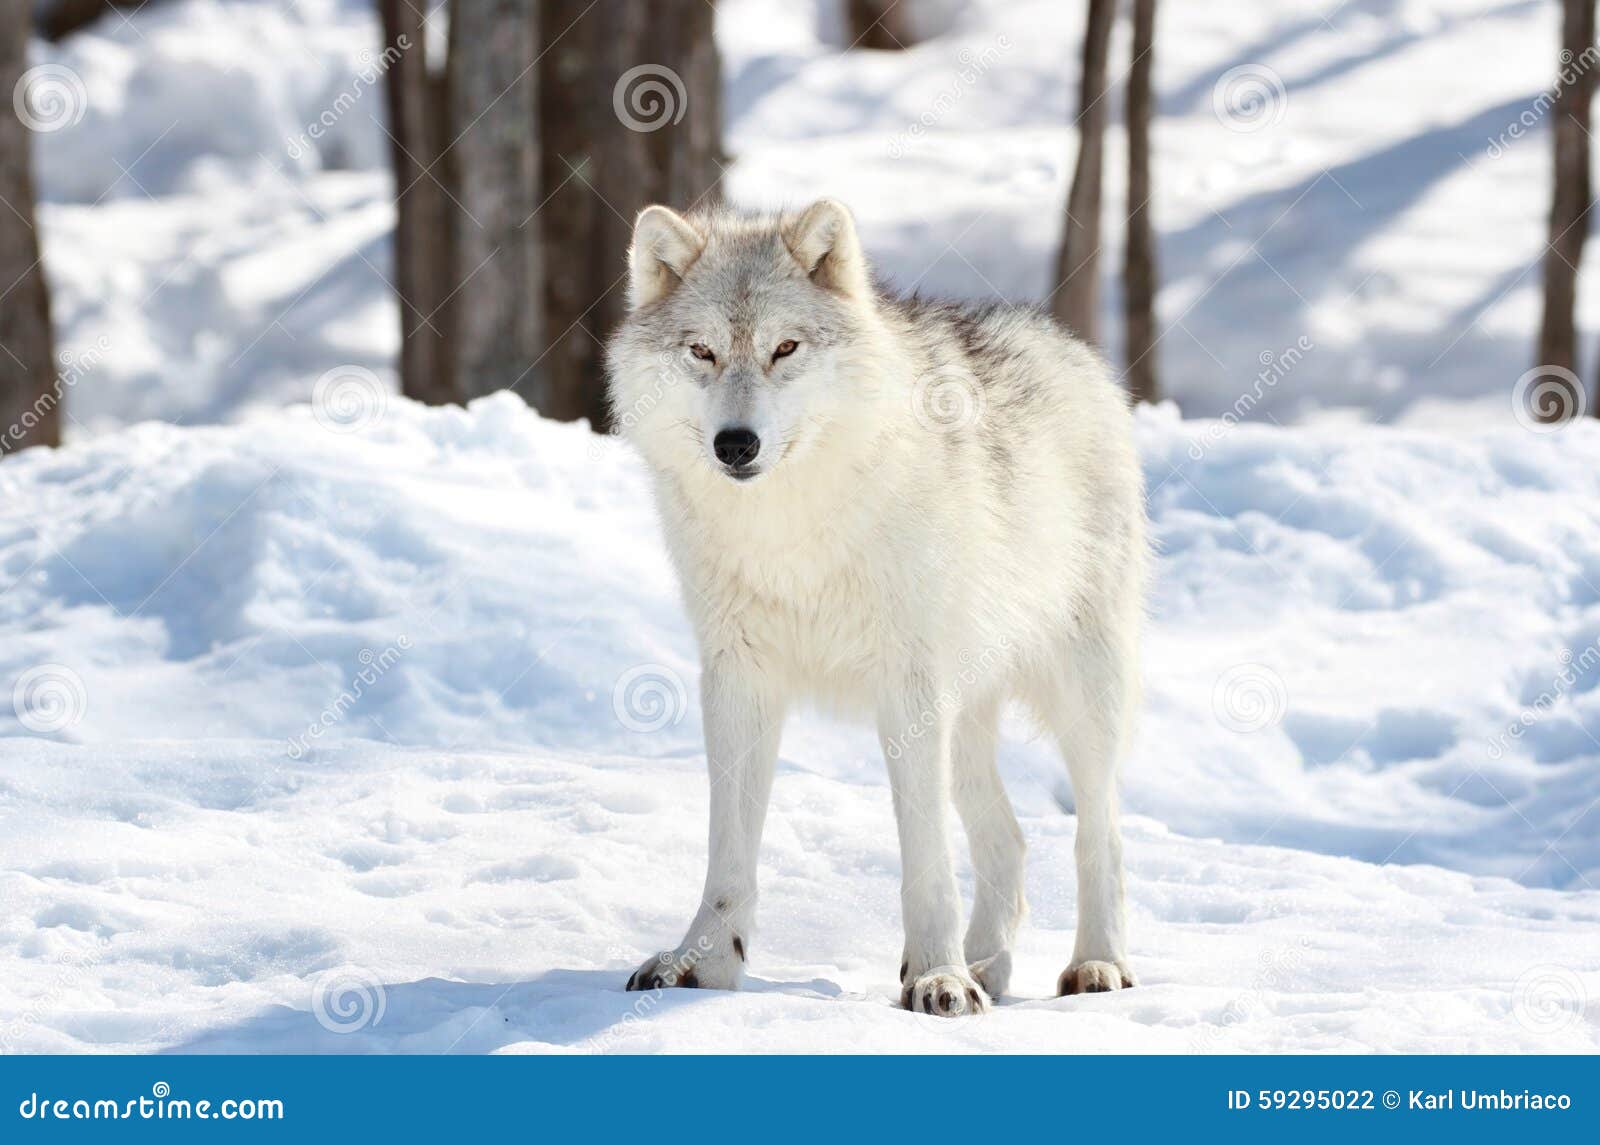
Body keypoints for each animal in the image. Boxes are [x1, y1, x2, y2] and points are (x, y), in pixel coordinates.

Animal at [606, 199, 1147, 1016]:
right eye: (701, 352)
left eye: (785, 348)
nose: (736, 445)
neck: (788, 530)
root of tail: (1073, 349)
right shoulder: (737, 679)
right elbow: (727, 852)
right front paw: (701, 965)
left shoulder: (909, 687)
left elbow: (926, 855)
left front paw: (937, 977)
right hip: (967, 723)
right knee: (1009, 840)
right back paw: (989, 965)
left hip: (1079, 697)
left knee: (1100, 833)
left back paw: (1096, 965)